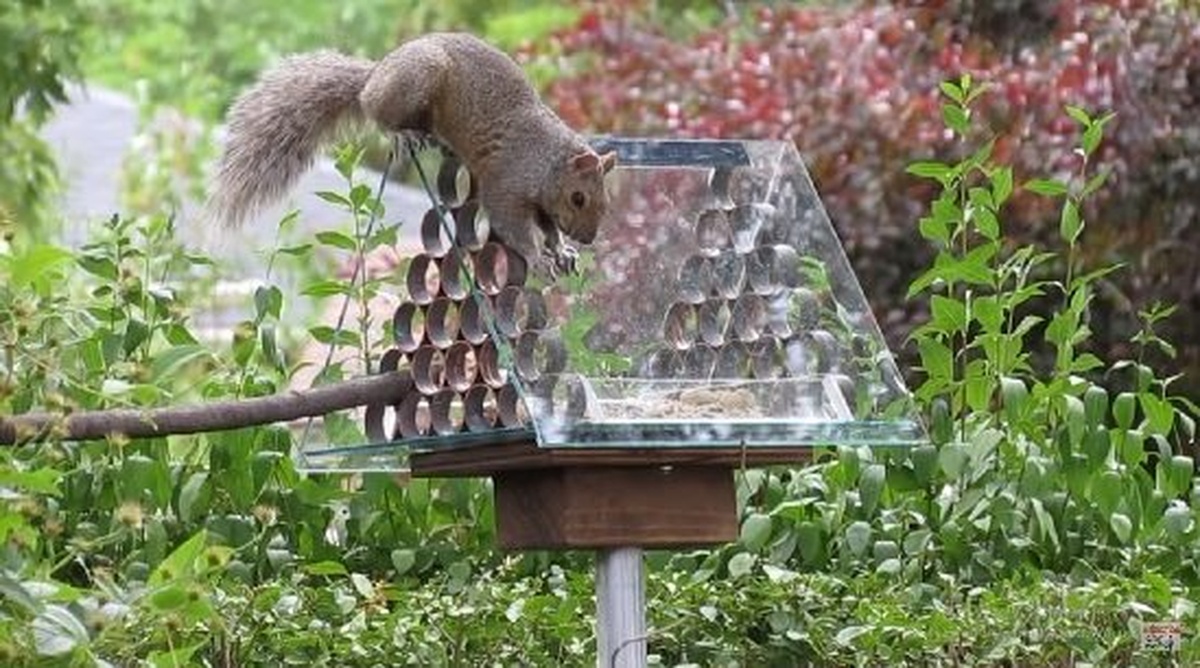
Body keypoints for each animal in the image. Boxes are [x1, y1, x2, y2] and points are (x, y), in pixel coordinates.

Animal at [205, 32, 617, 277]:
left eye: (606, 203)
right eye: (578, 197)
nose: (588, 239)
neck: (547, 161)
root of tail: (373, 79)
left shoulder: (544, 202)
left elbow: (548, 226)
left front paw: (562, 251)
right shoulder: (507, 180)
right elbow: (512, 223)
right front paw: (537, 257)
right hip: (416, 80)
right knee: (380, 116)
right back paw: (403, 132)